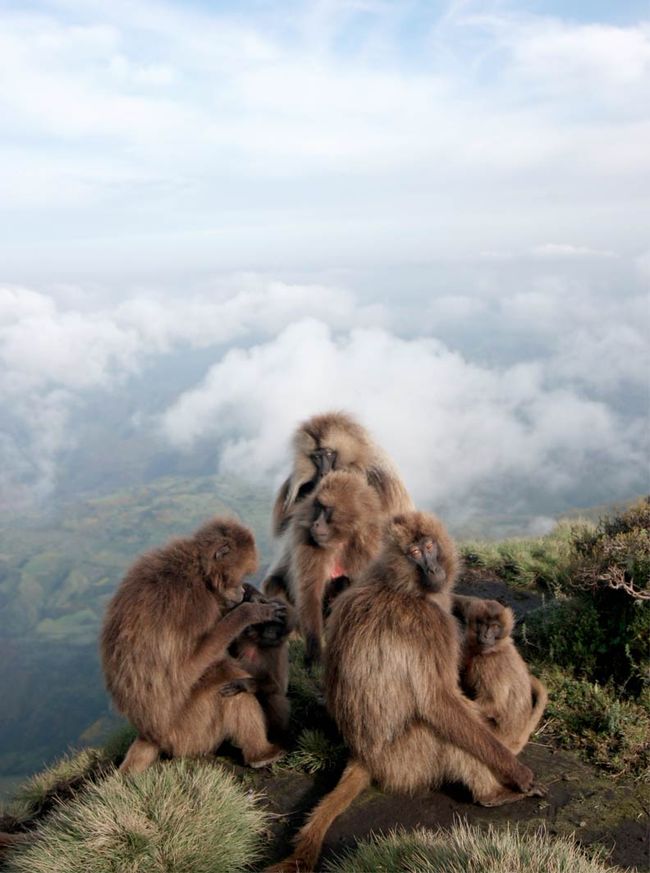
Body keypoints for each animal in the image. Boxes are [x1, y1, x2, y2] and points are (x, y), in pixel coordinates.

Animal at [101, 517, 286, 775]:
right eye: (238, 577)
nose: (241, 589)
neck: (198, 571)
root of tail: (151, 734)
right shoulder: (192, 605)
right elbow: (186, 669)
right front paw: (249, 611)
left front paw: (254, 595)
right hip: (189, 731)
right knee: (226, 679)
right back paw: (262, 755)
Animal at [288, 469, 387, 665]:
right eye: (319, 507)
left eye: (326, 509)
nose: (316, 524)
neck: (342, 537)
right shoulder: (307, 537)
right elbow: (310, 594)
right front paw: (315, 655)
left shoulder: (370, 545)